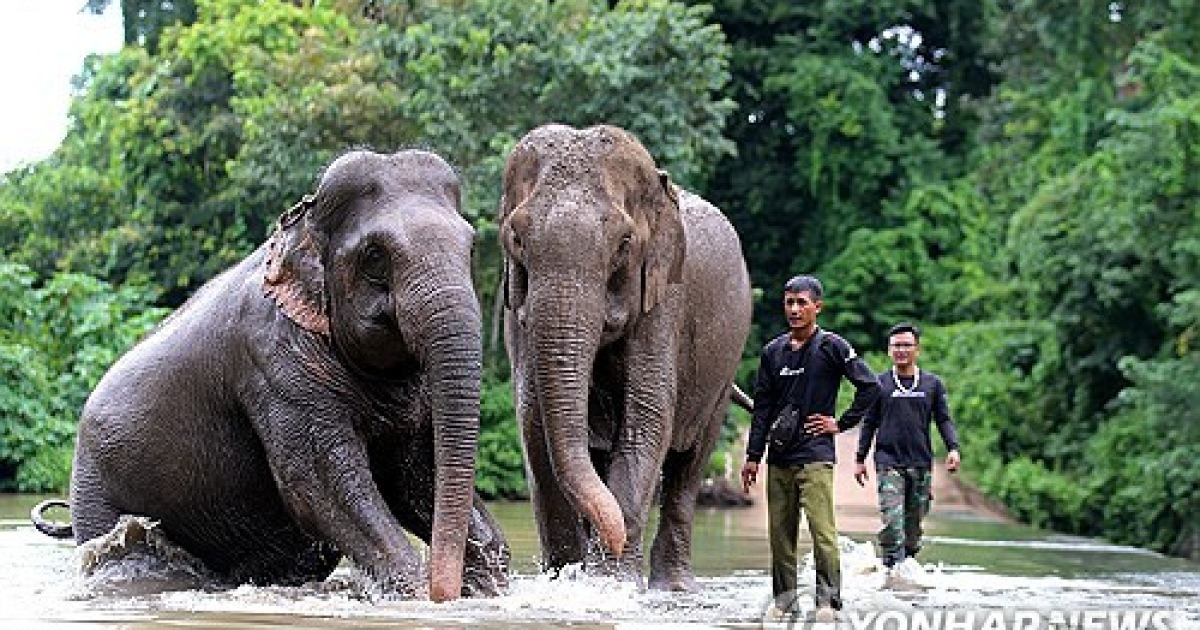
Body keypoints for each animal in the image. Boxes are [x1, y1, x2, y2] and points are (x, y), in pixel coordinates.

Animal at [51, 149, 508, 601]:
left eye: (470, 248)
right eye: (375, 256)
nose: (443, 592)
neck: (303, 222)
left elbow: (416, 477)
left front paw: (489, 587)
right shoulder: (272, 362)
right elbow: (319, 485)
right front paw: (414, 591)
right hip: (95, 488)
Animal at [498, 124, 752, 591]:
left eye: (624, 243)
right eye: (517, 239)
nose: (611, 544)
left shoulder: (665, 295)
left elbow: (647, 414)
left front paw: (610, 583)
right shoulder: (515, 306)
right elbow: (533, 419)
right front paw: (568, 579)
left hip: (725, 366)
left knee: (690, 465)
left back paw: (673, 586)